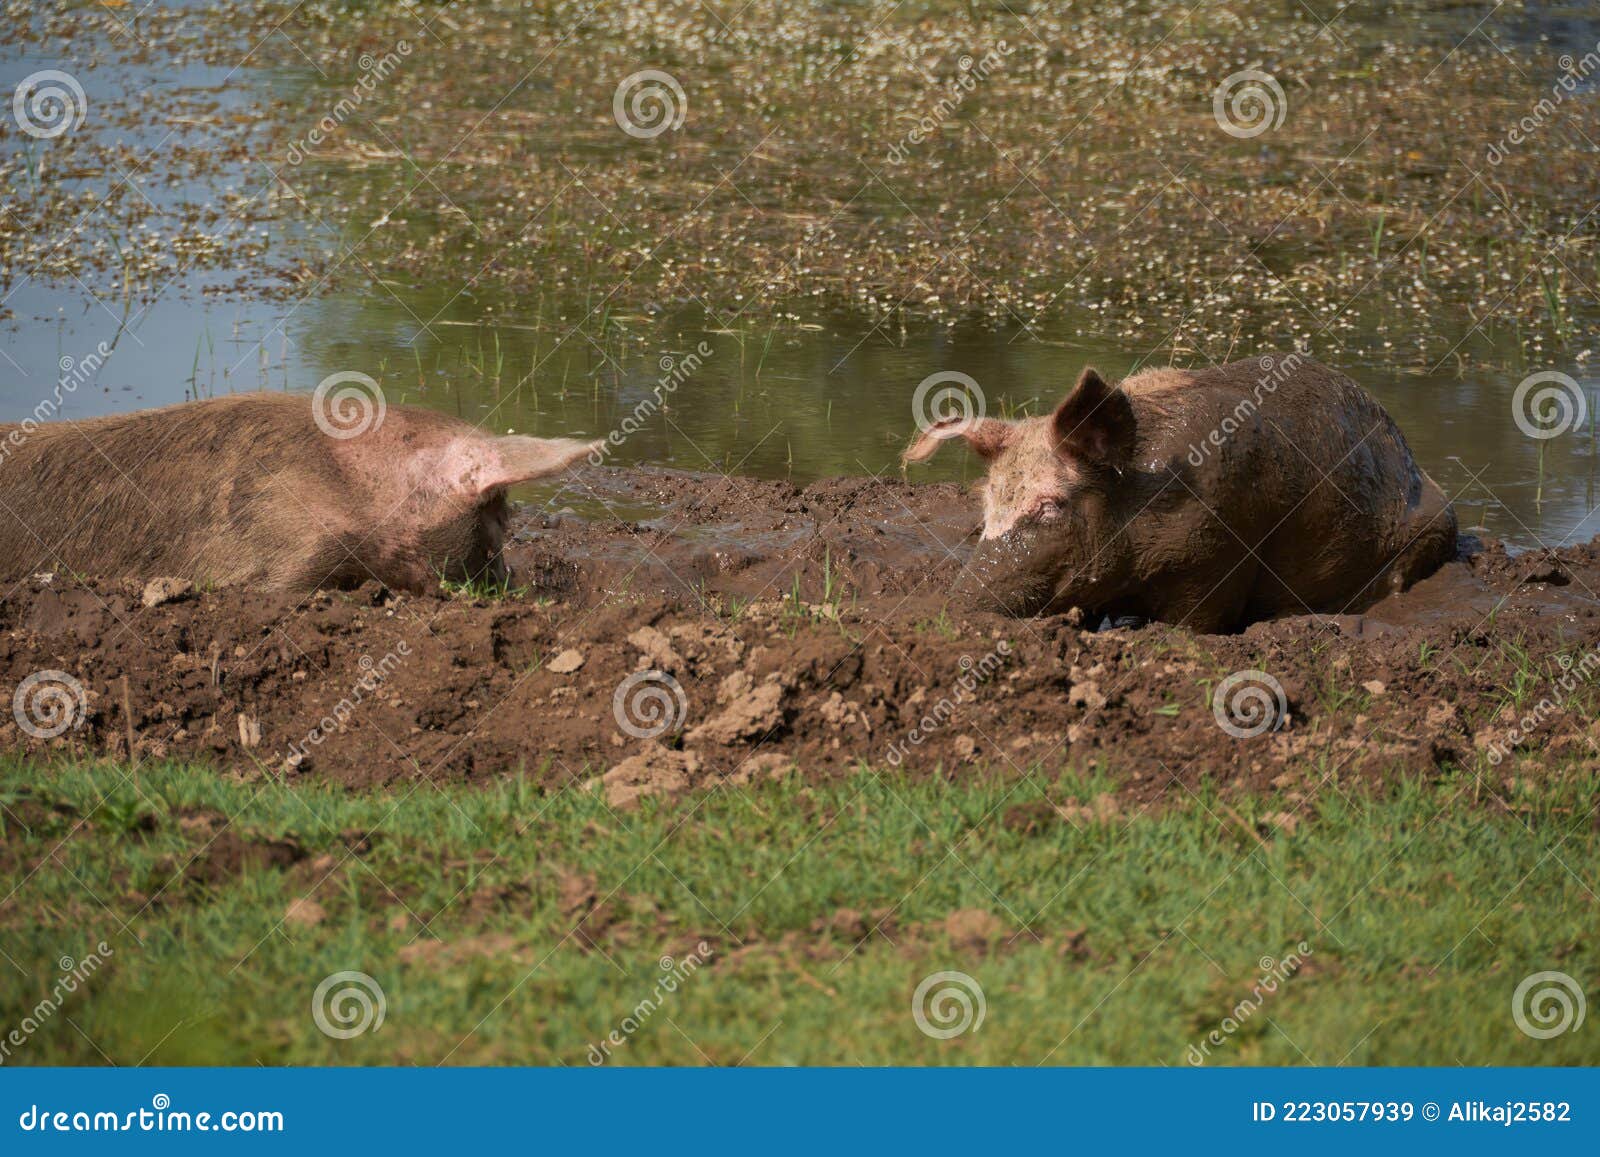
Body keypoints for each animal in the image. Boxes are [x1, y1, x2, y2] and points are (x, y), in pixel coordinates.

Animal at [904, 353, 1456, 632]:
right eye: (987, 505)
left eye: (1049, 505)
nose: (955, 606)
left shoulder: (1217, 560)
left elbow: (1195, 624)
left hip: (1429, 528)